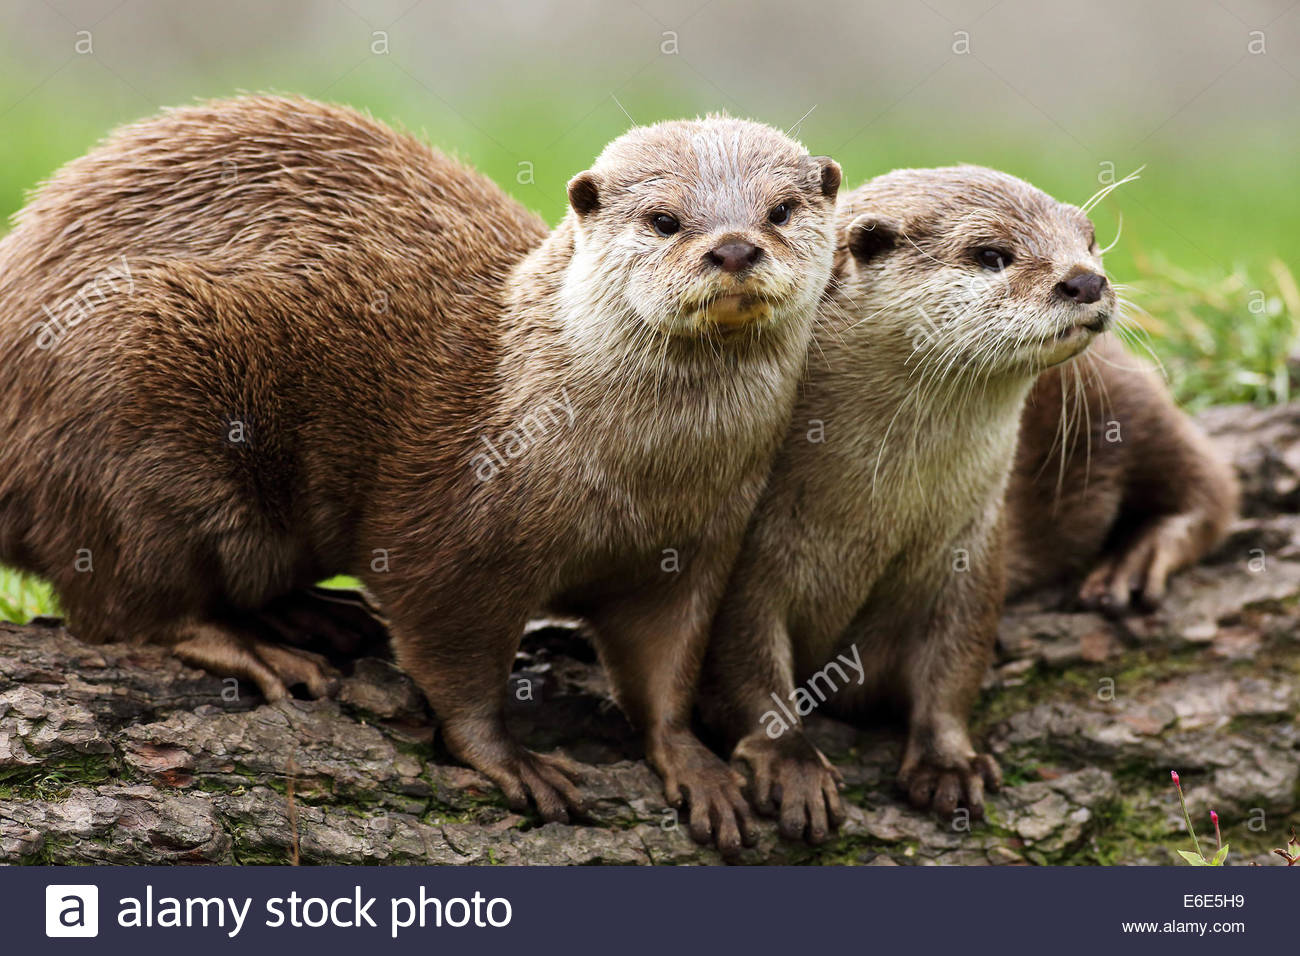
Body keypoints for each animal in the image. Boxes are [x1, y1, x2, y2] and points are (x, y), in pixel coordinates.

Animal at [0, 96, 842, 853]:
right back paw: (263, 650)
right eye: (664, 219)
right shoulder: (453, 534)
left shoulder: (696, 549)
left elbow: (666, 668)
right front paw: (513, 761)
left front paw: (700, 768)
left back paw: (320, 616)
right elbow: (454, 658)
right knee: (127, 604)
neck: (637, 483)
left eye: (781, 210)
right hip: (129, 395)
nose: (733, 248)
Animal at [703, 165, 1169, 843]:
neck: (874, 520)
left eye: (1088, 239)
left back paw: (1135, 564)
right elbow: (745, 658)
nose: (1086, 279)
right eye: (992, 255)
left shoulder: (971, 547)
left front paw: (949, 764)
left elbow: (956, 661)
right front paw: (791, 764)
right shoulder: (746, 552)